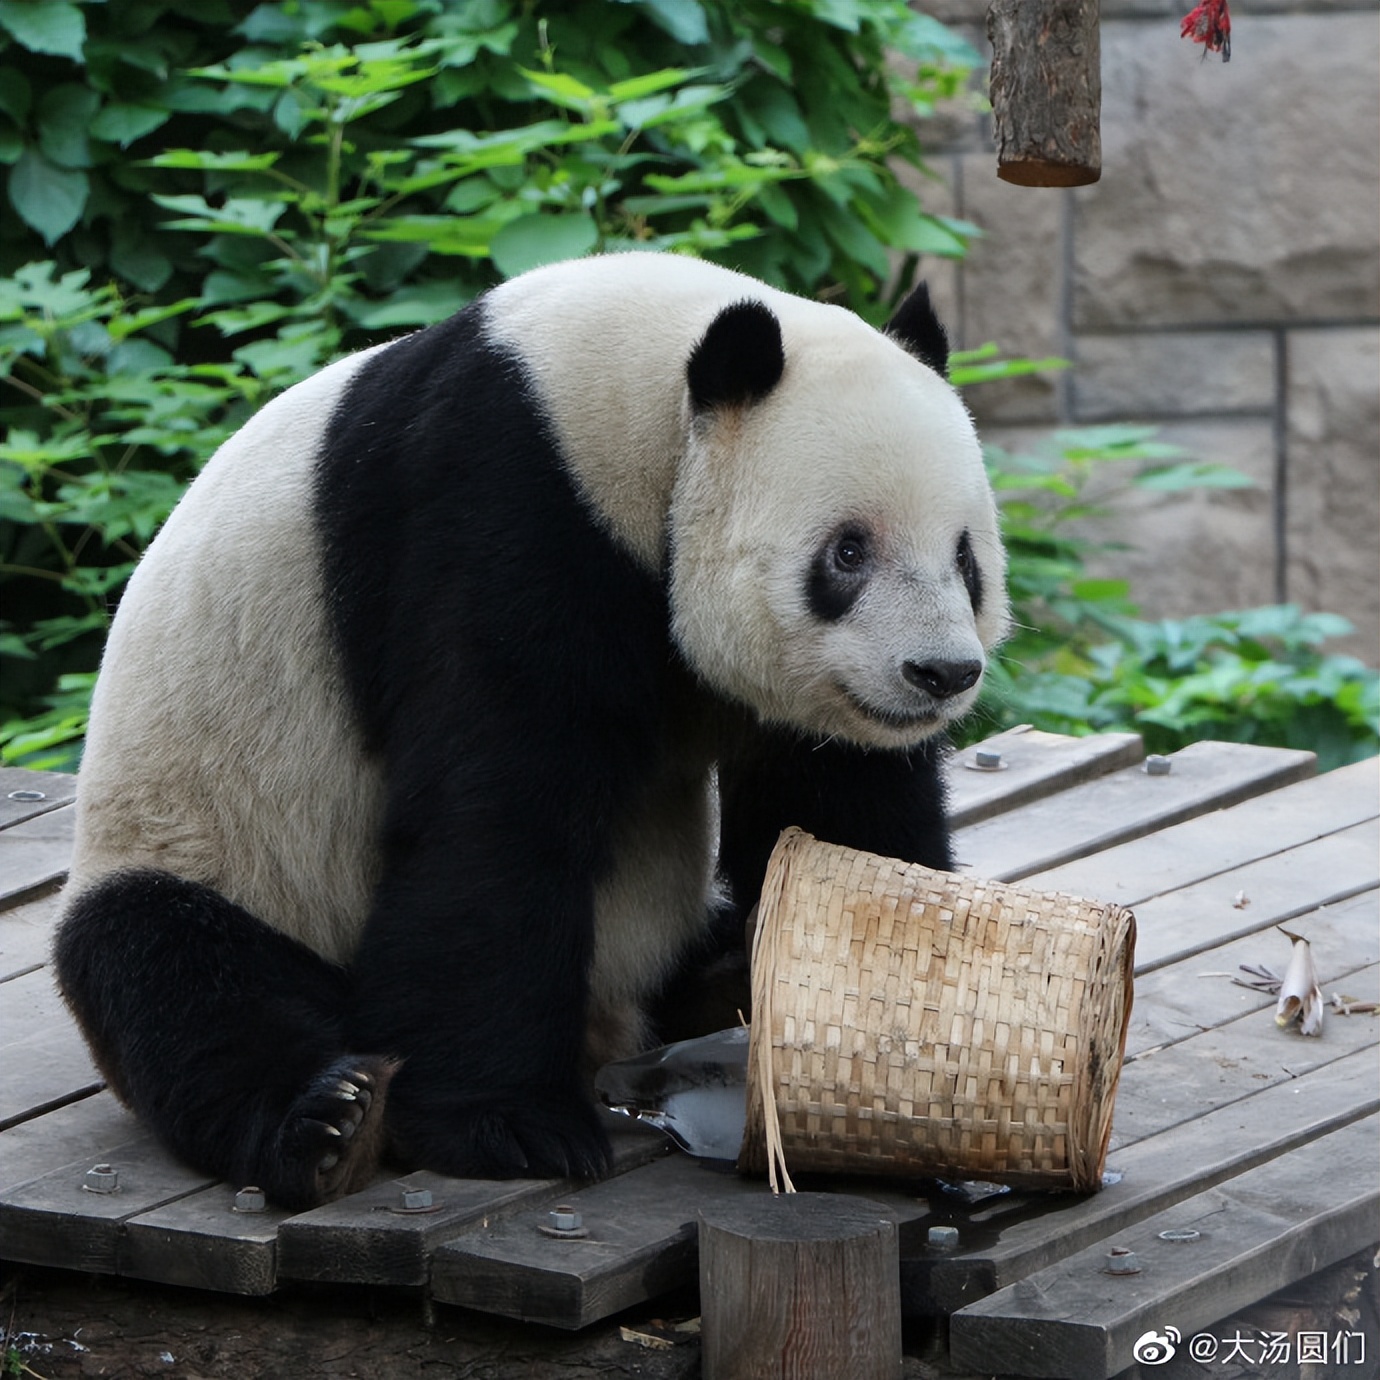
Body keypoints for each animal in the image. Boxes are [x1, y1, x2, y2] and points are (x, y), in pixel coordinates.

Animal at [54, 251, 1007, 1210]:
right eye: (848, 551)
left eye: (965, 557)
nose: (940, 673)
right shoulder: (501, 503)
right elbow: (498, 811)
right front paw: (507, 1126)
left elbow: (838, 812)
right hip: (209, 834)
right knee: (182, 976)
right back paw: (327, 1122)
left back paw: (722, 982)